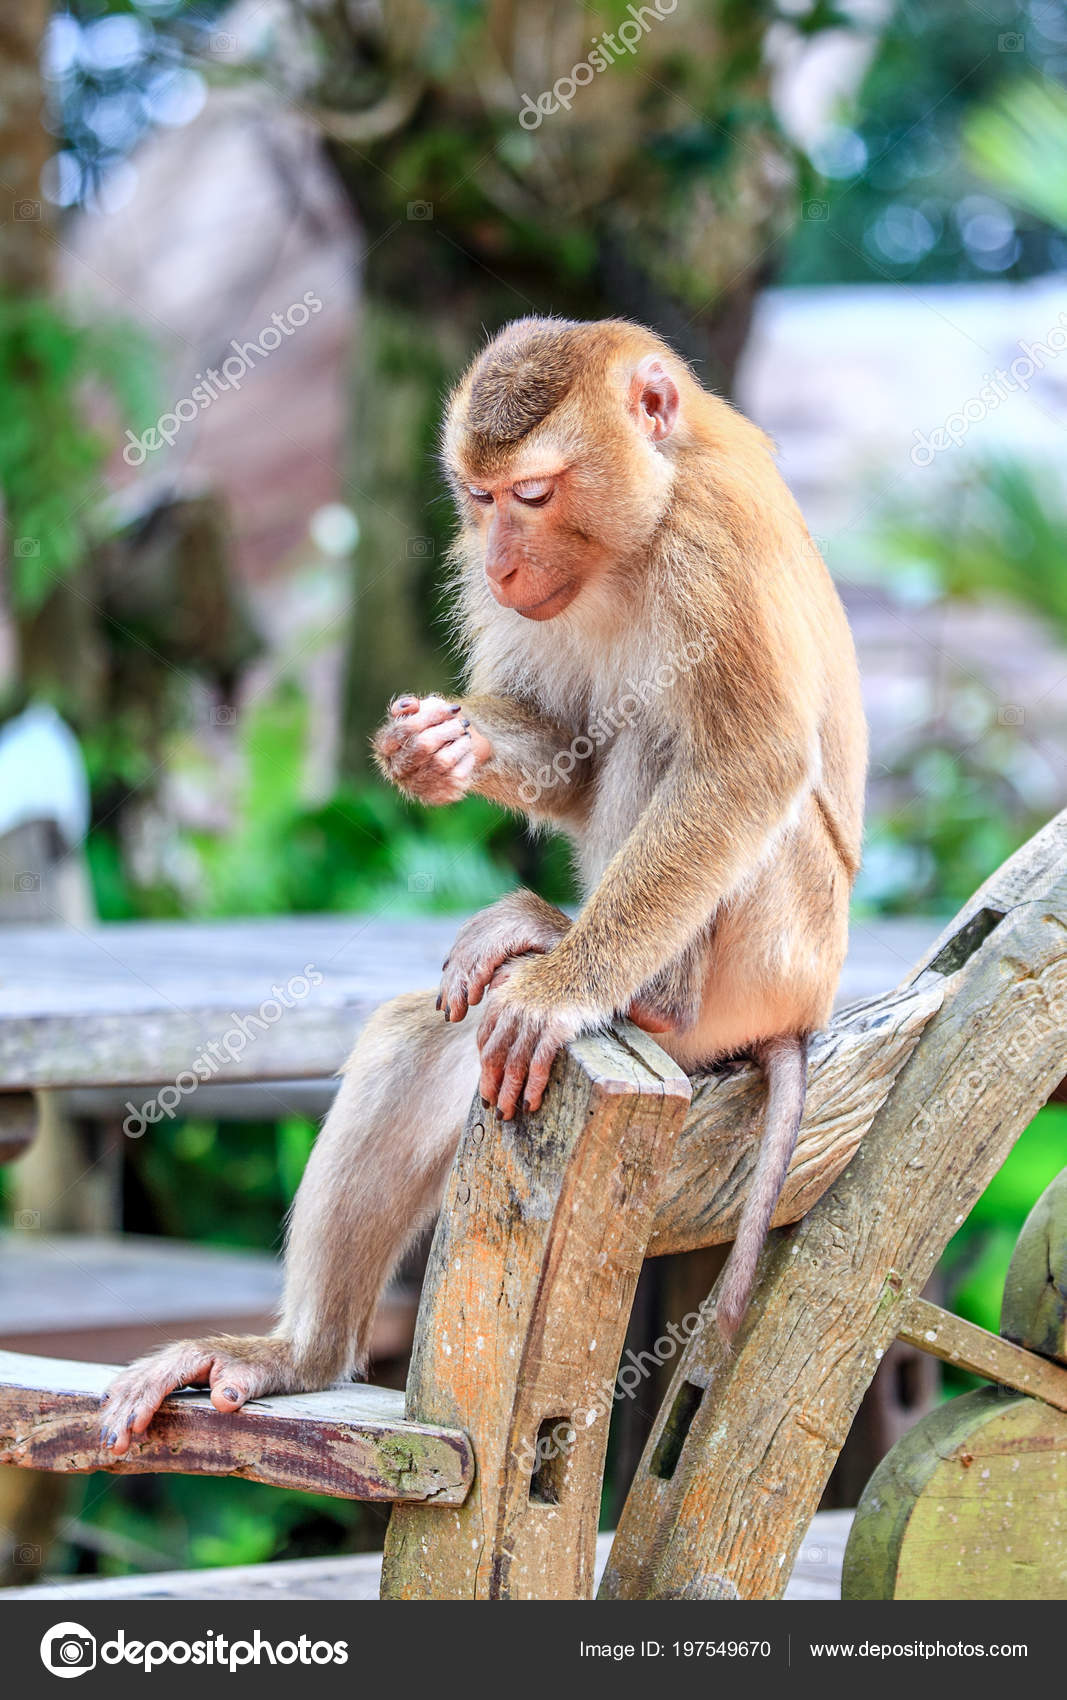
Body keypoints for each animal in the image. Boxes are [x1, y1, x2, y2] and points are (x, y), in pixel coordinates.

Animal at [99, 316, 866, 1454]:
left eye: (534, 494)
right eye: (480, 495)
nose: (500, 563)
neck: (634, 535)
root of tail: (807, 1010)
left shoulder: (711, 544)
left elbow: (746, 763)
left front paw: (559, 991)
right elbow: (574, 752)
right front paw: (430, 749)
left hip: (779, 949)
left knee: (673, 737)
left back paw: (624, 985)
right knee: (420, 1039)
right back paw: (296, 1355)